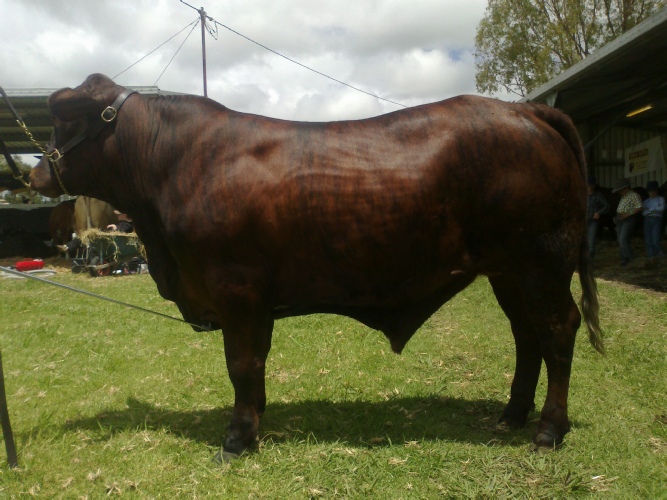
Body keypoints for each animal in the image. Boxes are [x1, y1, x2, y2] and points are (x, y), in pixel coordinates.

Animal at [30, 74, 603, 461]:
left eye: (69, 120)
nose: (35, 173)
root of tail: (527, 112)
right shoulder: (254, 301)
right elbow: (255, 364)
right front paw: (257, 418)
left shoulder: (236, 288)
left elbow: (241, 363)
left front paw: (236, 438)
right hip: (509, 271)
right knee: (527, 336)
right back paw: (510, 416)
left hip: (542, 263)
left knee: (558, 331)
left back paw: (548, 430)